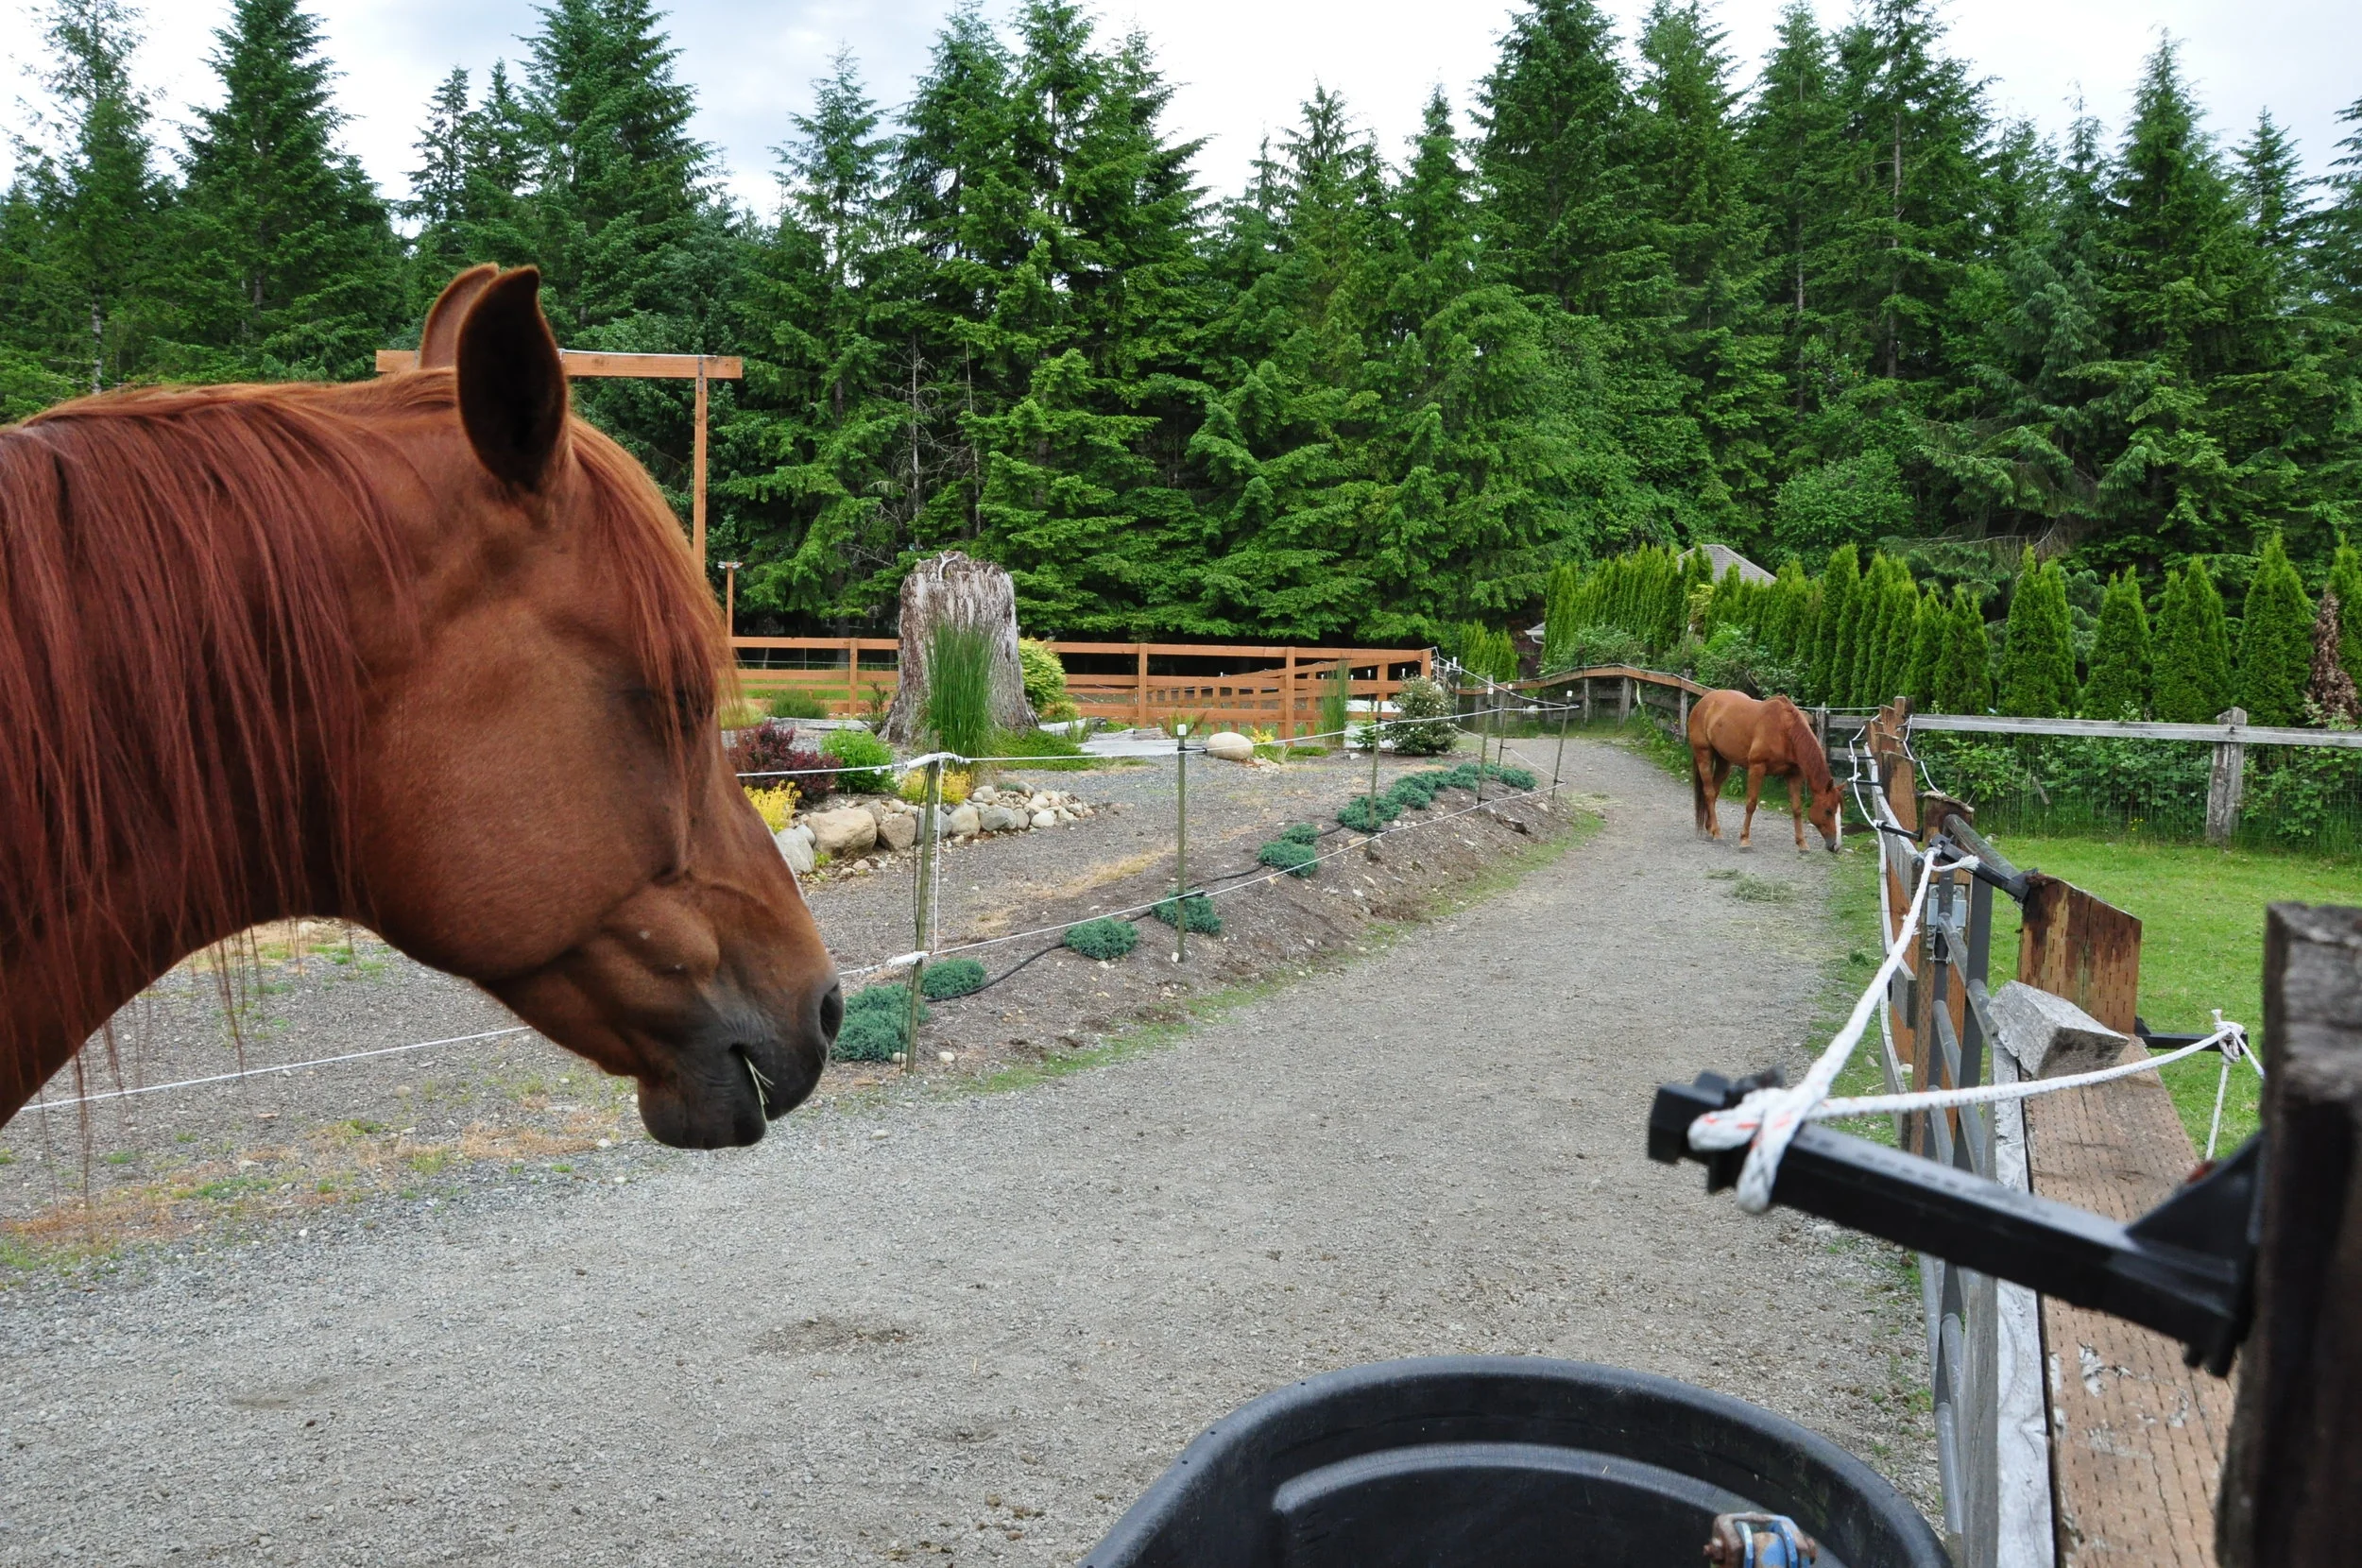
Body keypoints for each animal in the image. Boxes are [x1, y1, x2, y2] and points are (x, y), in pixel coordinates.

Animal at [1688, 689, 1841, 853]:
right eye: (1828, 811)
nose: (1835, 846)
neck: (1784, 731)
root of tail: (1704, 702)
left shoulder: (1794, 774)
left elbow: (1797, 808)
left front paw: (1802, 844)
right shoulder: (1757, 768)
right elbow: (1751, 804)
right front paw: (1745, 841)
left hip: (1724, 761)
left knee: (1715, 791)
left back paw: (1710, 829)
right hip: (1703, 755)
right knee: (1709, 793)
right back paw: (1717, 833)